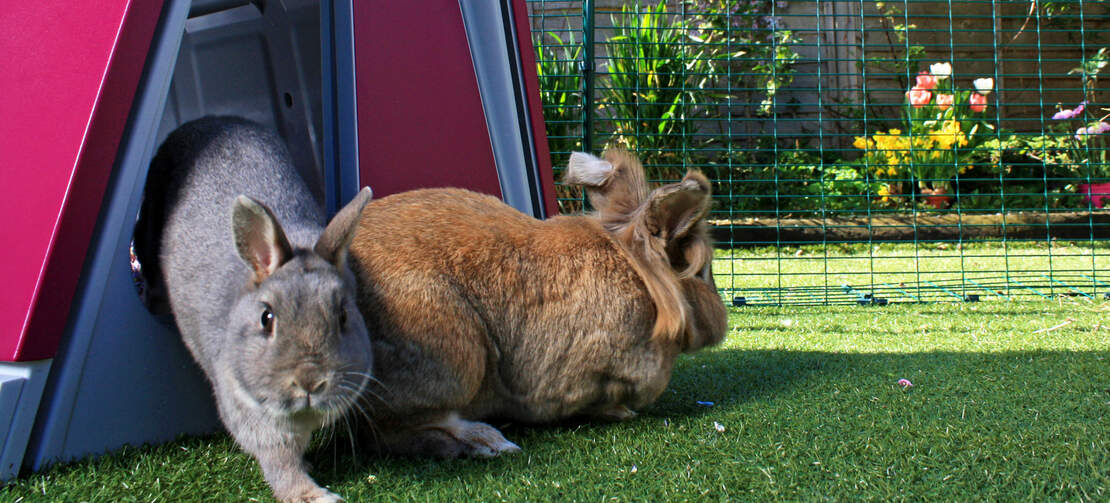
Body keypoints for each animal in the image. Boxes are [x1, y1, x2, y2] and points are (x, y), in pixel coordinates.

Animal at [135, 116, 374, 503]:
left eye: (343, 316)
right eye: (267, 318)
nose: (310, 381)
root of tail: (213, 120)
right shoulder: (248, 410)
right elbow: (279, 461)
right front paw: (313, 495)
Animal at [345, 149, 728, 458]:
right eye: (700, 272)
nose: (722, 324)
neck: (638, 271)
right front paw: (621, 413)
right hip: (457, 353)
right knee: (393, 430)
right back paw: (486, 443)